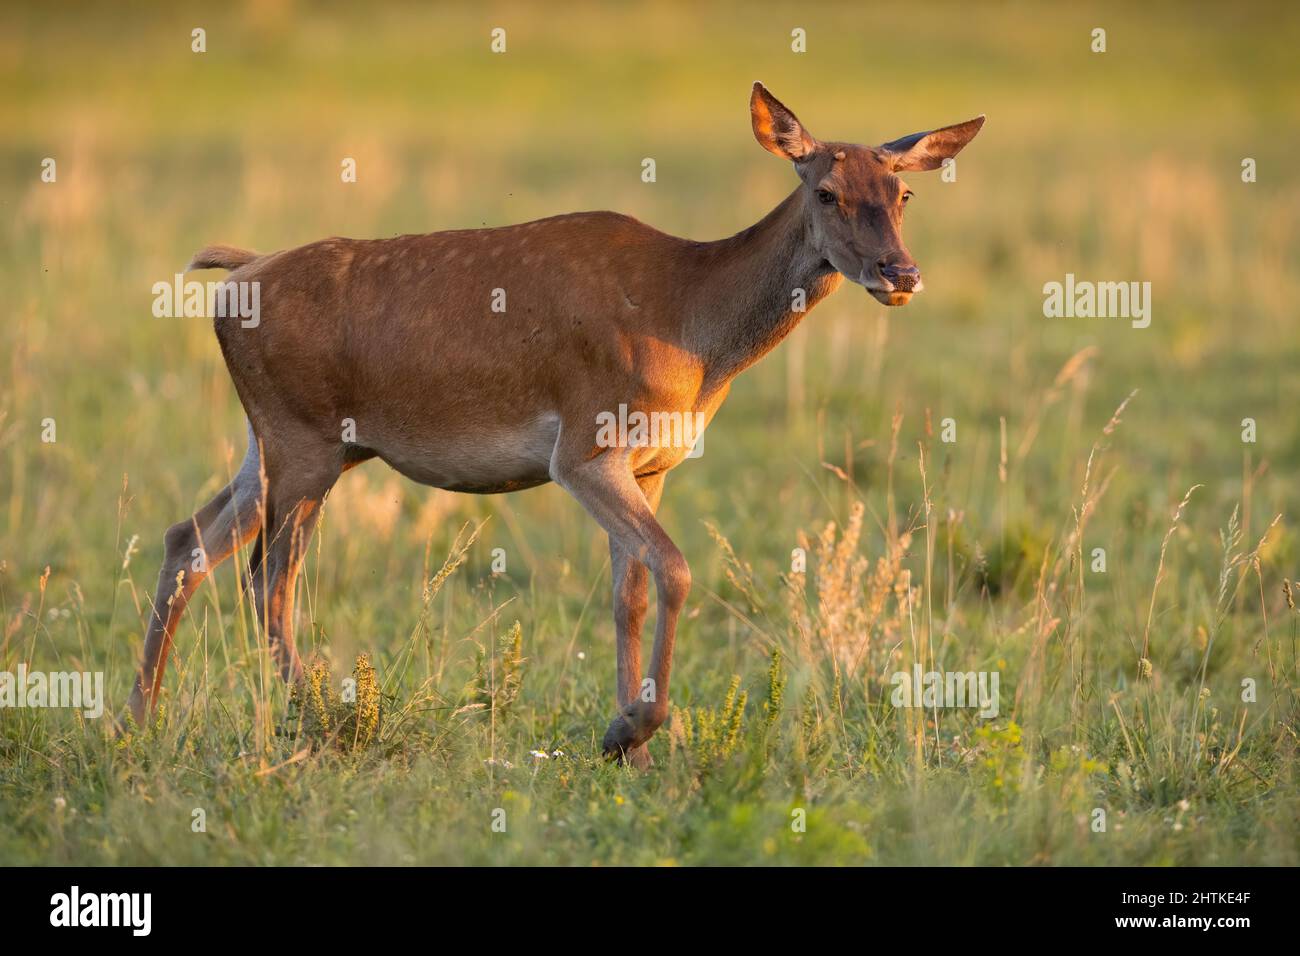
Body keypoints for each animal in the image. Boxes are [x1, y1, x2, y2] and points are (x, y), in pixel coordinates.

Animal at [125, 83, 983, 767]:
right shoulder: (584, 449)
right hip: (302, 441)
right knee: (268, 576)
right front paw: (629, 732)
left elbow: (629, 593)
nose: (901, 274)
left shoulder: (651, 465)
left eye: (903, 195)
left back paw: (138, 721)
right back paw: (327, 721)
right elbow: (676, 569)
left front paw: (634, 751)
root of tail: (234, 278)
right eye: (826, 191)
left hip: (281, 443)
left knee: (187, 538)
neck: (697, 332)